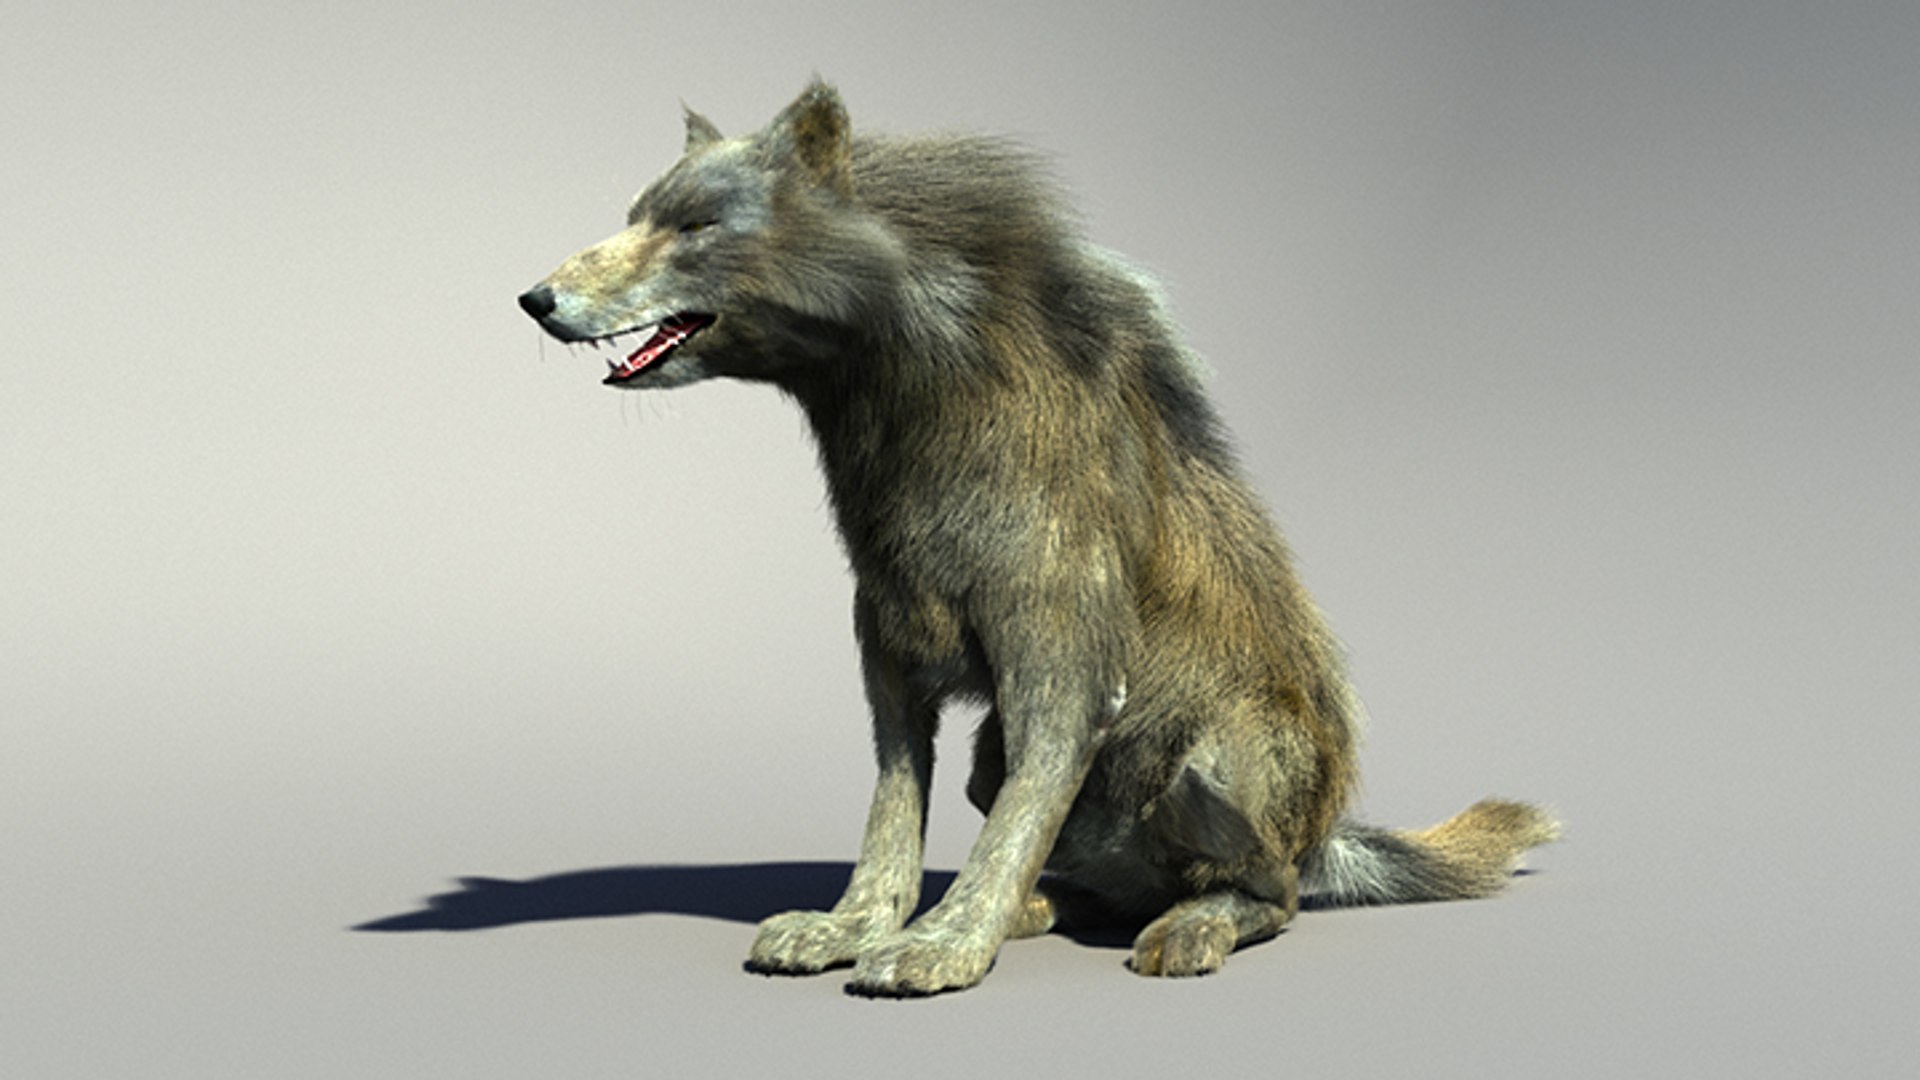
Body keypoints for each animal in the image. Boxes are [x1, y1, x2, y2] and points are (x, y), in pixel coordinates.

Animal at [517, 80, 1559, 996]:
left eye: (696, 227)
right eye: (637, 216)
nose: (535, 298)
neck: (920, 397)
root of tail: (1324, 835)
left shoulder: (1065, 676)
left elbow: (1014, 818)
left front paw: (942, 946)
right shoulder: (891, 657)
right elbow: (894, 815)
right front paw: (861, 926)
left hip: (1214, 759)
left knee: (1275, 894)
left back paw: (1188, 925)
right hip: (999, 758)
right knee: (1089, 877)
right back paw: (1047, 910)